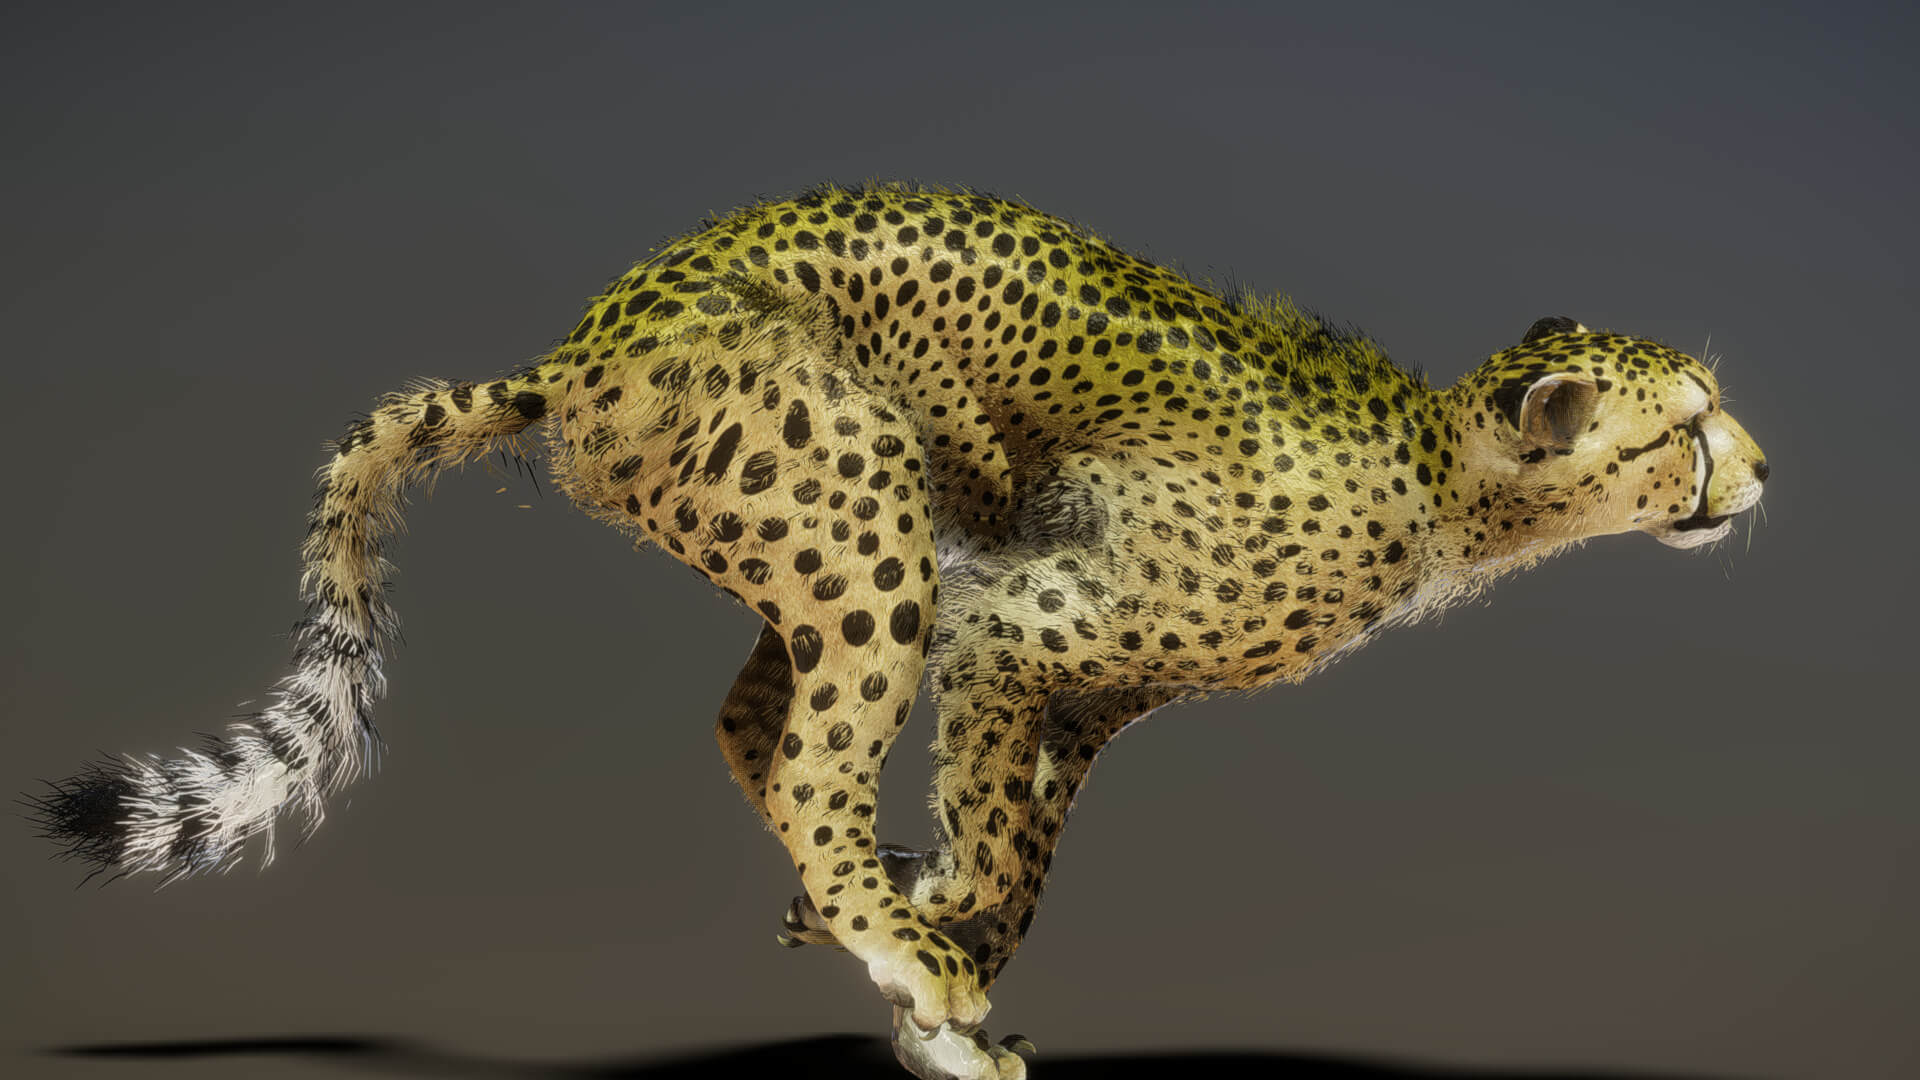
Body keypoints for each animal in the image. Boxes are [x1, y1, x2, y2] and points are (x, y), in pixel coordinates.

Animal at [29, 183, 1767, 1080]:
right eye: (1684, 427)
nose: (1758, 470)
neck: (1443, 471)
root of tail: (582, 347)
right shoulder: (1022, 624)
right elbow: (1003, 840)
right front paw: (944, 955)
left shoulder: (1079, 686)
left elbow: (1022, 837)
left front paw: (941, 925)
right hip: (864, 513)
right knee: (808, 757)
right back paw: (890, 941)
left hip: (824, 539)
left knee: (754, 722)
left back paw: (858, 915)